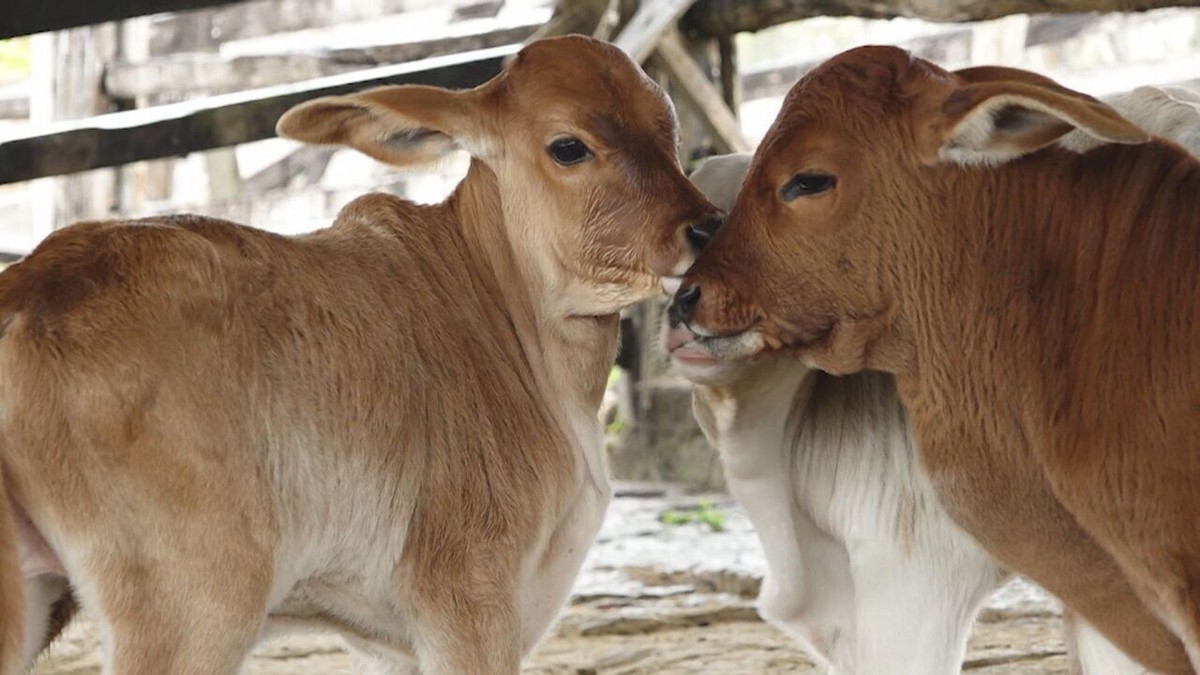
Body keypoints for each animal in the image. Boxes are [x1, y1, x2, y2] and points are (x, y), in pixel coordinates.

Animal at [0, 35, 719, 675]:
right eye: (568, 146)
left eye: (670, 130)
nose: (708, 229)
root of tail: (32, 285)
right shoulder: (467, 593)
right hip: (192, 600)